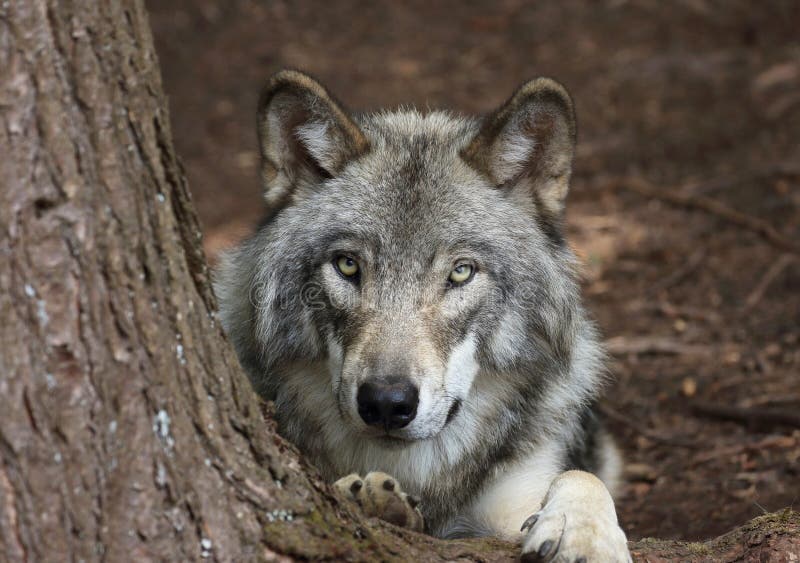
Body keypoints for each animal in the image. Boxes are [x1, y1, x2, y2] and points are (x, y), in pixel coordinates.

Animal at [215, 69, 631, 561]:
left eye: (461, 272)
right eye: (348, 265)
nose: (386, 402)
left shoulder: (514, 501)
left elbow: (580, 477)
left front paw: (583, 534)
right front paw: (376, 500)